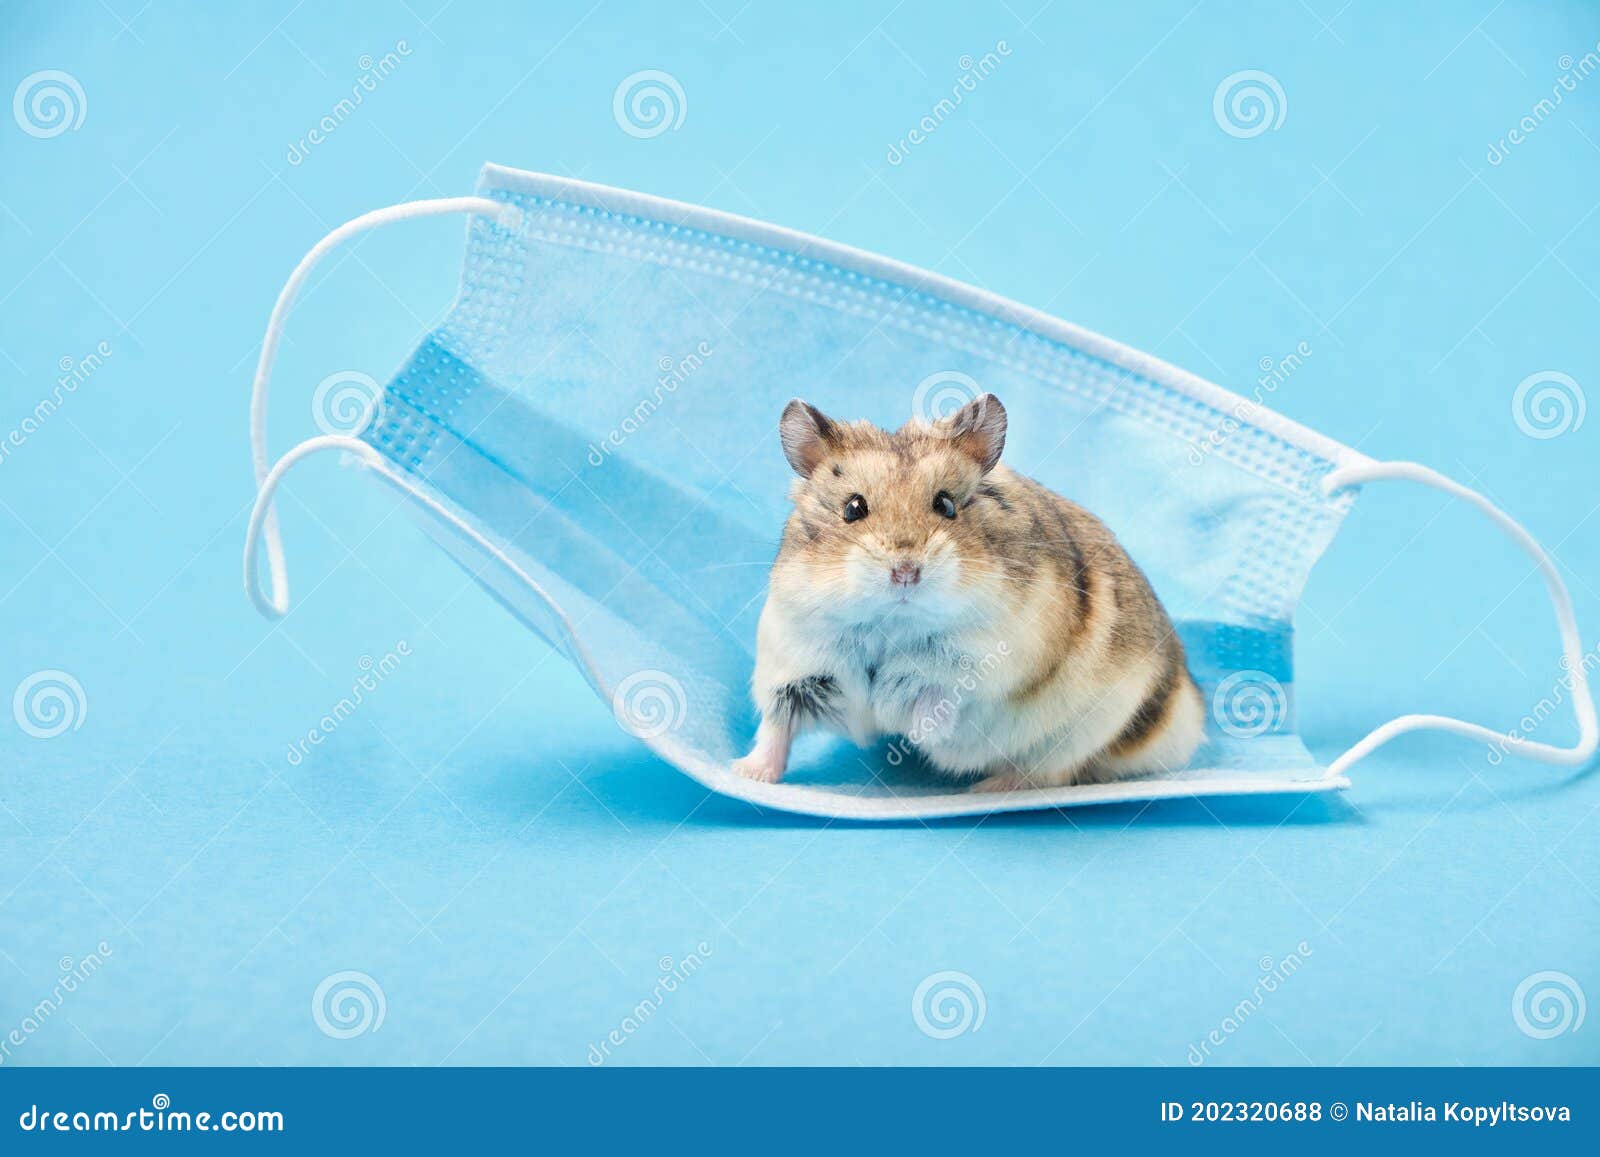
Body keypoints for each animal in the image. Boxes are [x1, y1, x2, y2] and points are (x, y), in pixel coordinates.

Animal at [732, 392, 1205, 792]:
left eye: (945, 504)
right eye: (853, 508)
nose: (906, 572)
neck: (892, 624)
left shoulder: (991, 656)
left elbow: (940, 695)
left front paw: (912, 729)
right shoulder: (793, 666)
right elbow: (775, 727)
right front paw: (748, 774)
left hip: (1082, 733)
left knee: (1046, 772)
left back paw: (988, 787)